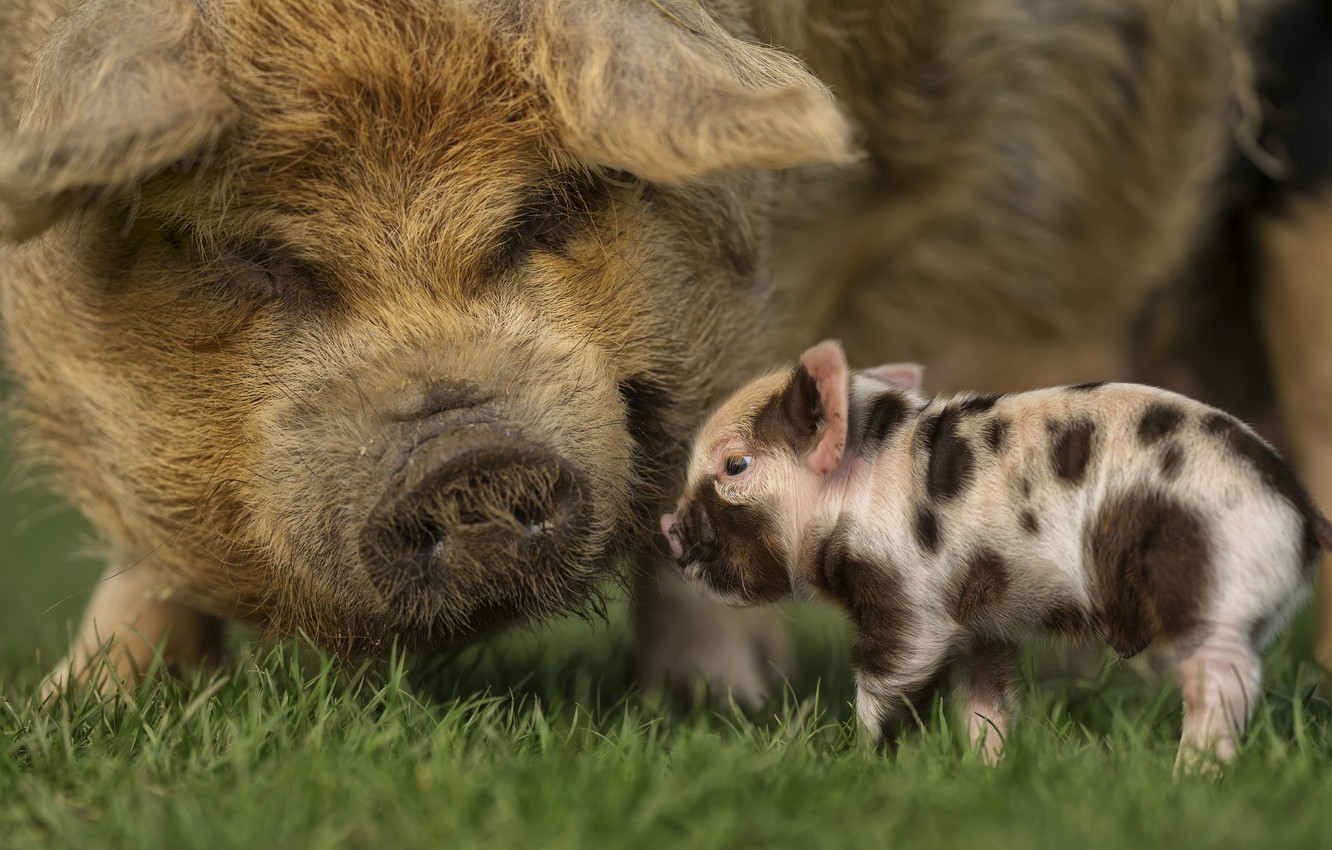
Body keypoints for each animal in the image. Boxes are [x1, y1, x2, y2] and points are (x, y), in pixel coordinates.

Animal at [661, 340, 1330, 766]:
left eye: (735, 465)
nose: (667, 527)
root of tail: (1303, 516)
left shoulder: (909, 601)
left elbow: (889, 679)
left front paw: (859, 761)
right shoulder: (985, 617)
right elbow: (987, 697)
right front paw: (987, 771)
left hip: (1208, 592)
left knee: (1224, 679)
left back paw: (1191, 776)